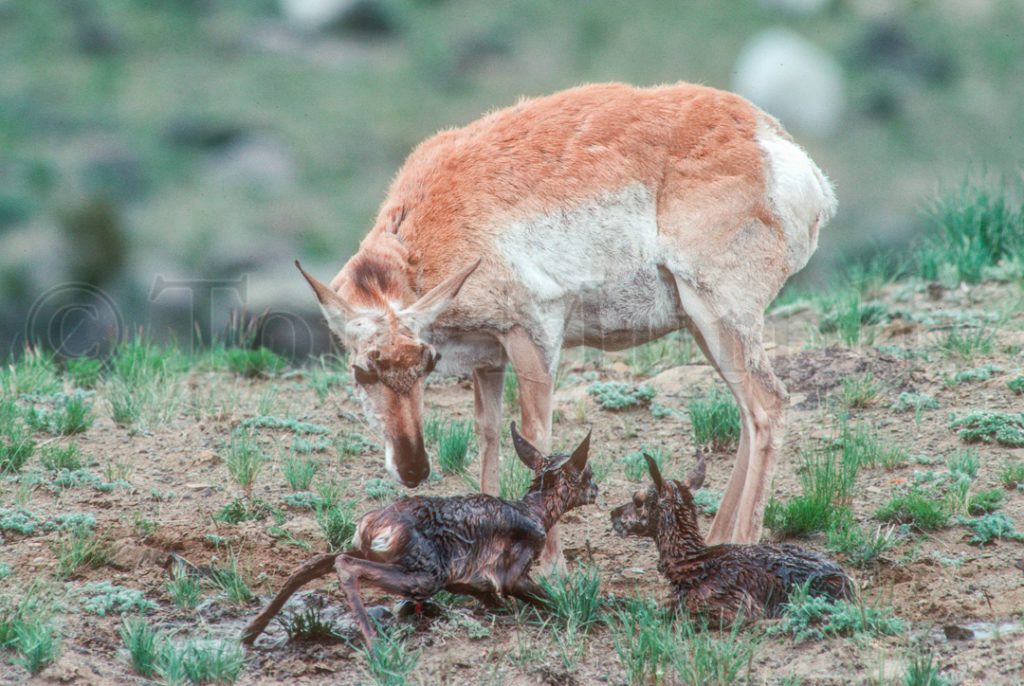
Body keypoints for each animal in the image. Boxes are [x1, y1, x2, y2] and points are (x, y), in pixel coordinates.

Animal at [240, 422, 597, 648]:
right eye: (587, 472)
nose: (597, 489)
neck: (534, 510)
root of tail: (372, 524)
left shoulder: (473, 581)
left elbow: (492, 599)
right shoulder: (512, 575)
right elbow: (554, 598)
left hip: (372, 553)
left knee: (311, 564)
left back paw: (249, 632)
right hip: (425, 574)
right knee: (345, 566)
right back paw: (376, 648)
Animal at [298, 82, 836, 556]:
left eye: (425, 363)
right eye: (362, 371)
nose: (414, 471)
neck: (428, 233)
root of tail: (774, 143)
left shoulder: (532, 337)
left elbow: (538, 439)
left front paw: (551, 563)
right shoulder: (488, 359)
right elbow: (488, 435)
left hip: (720, 316)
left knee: (769, 405)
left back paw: (743, 542)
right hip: (705, 327)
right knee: (749, 413)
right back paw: (721, 536)